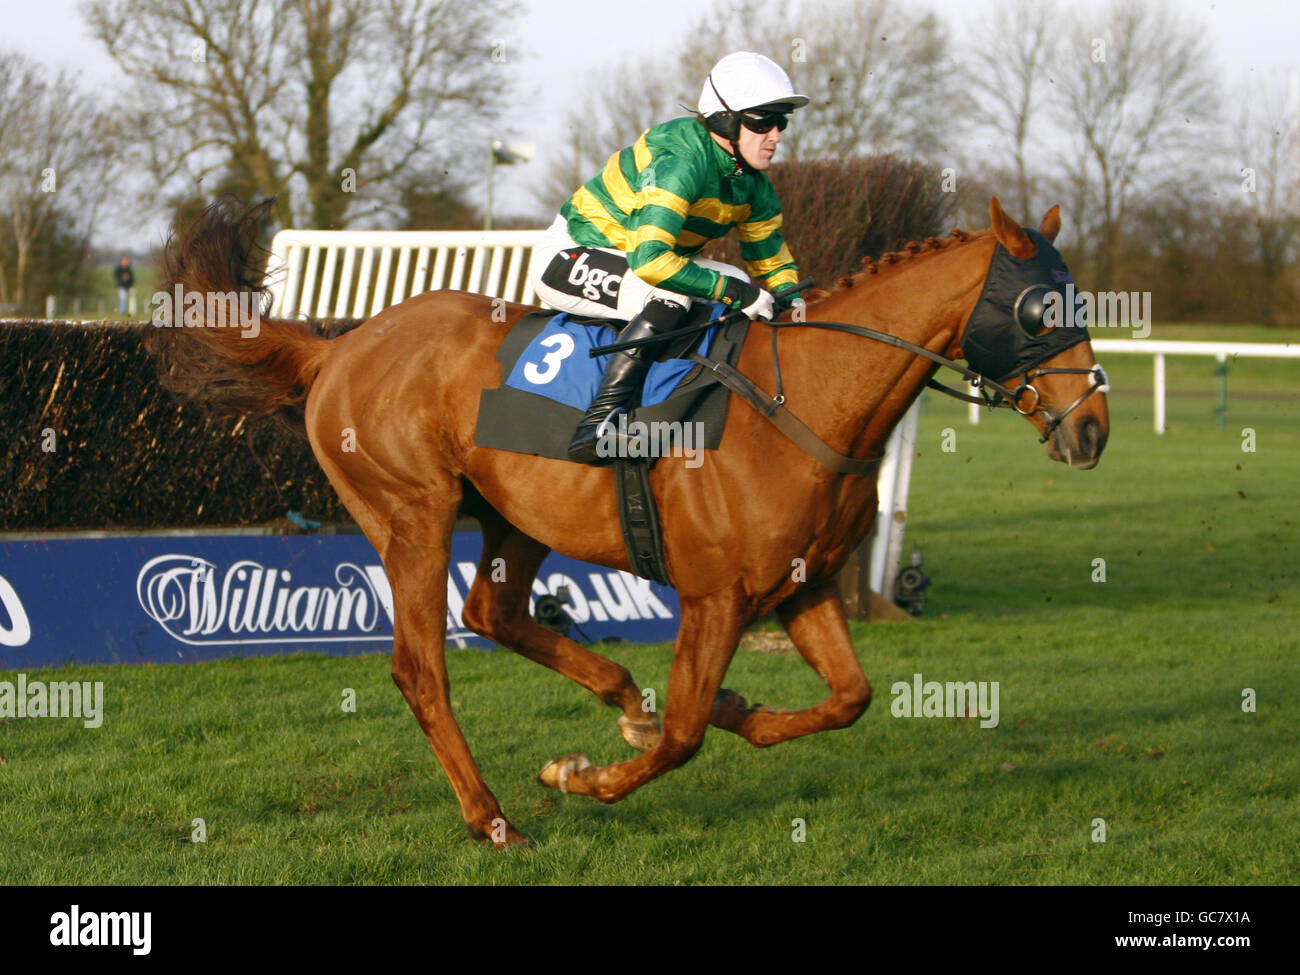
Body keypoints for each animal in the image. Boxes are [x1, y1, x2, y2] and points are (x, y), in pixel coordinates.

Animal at [149, 195, 1109, 848]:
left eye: (1084, 302)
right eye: (1038, 309)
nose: (1092, 428)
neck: (803, 405)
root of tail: (337, 346)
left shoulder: (803, 586)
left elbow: (847, 699)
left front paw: (732, 705)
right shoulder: (717, 595)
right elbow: (684, 736)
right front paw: (583, 776)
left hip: (515, 516)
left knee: (493, 614)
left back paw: (619, 697)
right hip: (412, 516)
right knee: (423, 670)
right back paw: (494, 818)